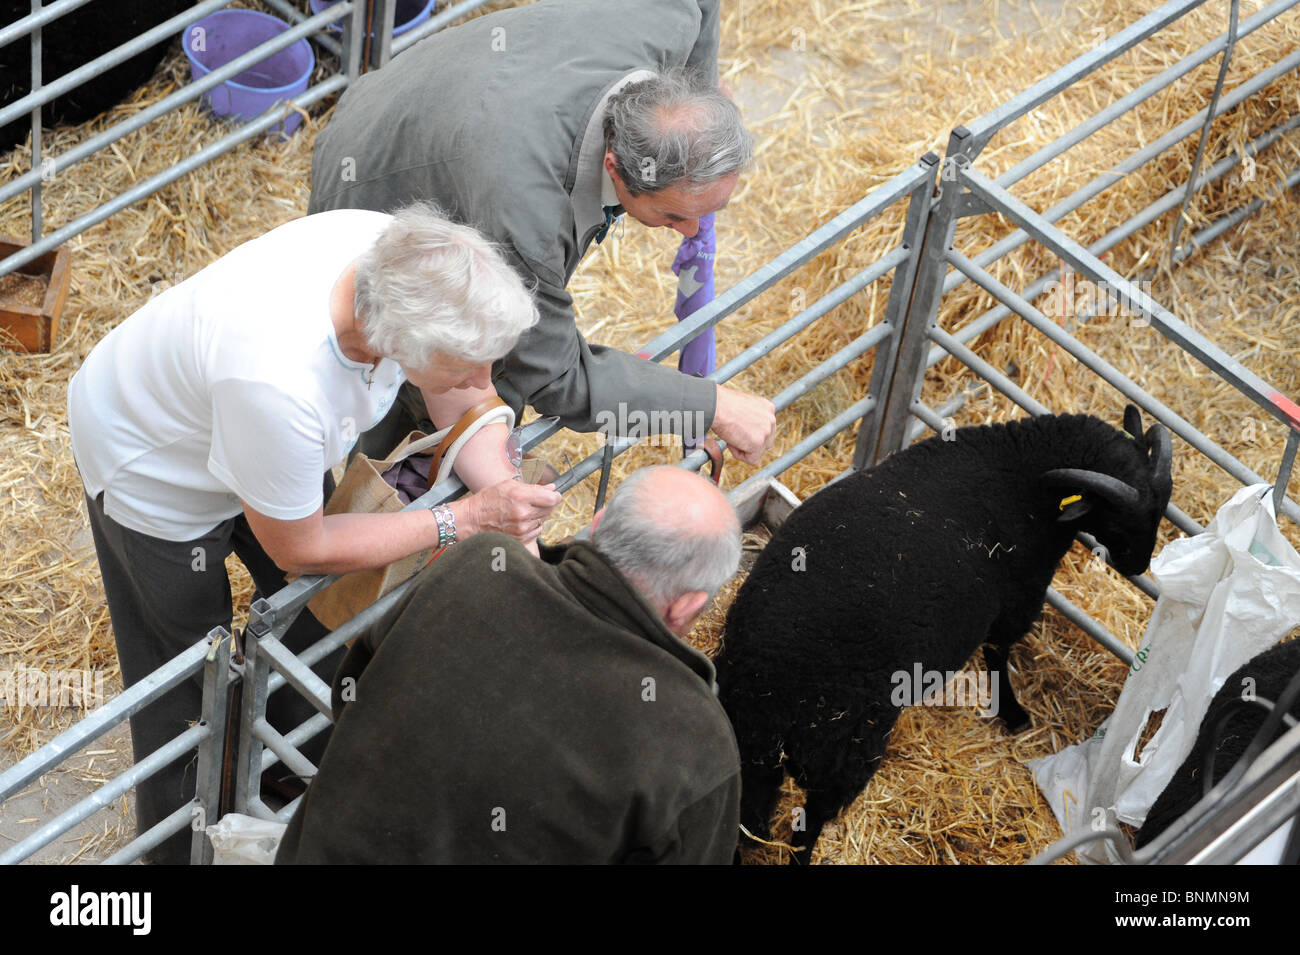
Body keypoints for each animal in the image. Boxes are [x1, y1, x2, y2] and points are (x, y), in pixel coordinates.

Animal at [717, 402, 1175, 867]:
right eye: (1120, 519)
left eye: (1162, 506)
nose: (1139, 566)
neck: (1023, 471)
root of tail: (768, 690)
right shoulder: (1019, 599)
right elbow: (998, 653)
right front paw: (1013, 714)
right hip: (843, 751)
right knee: (807, 826)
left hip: (753, 751)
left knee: (746, 816)